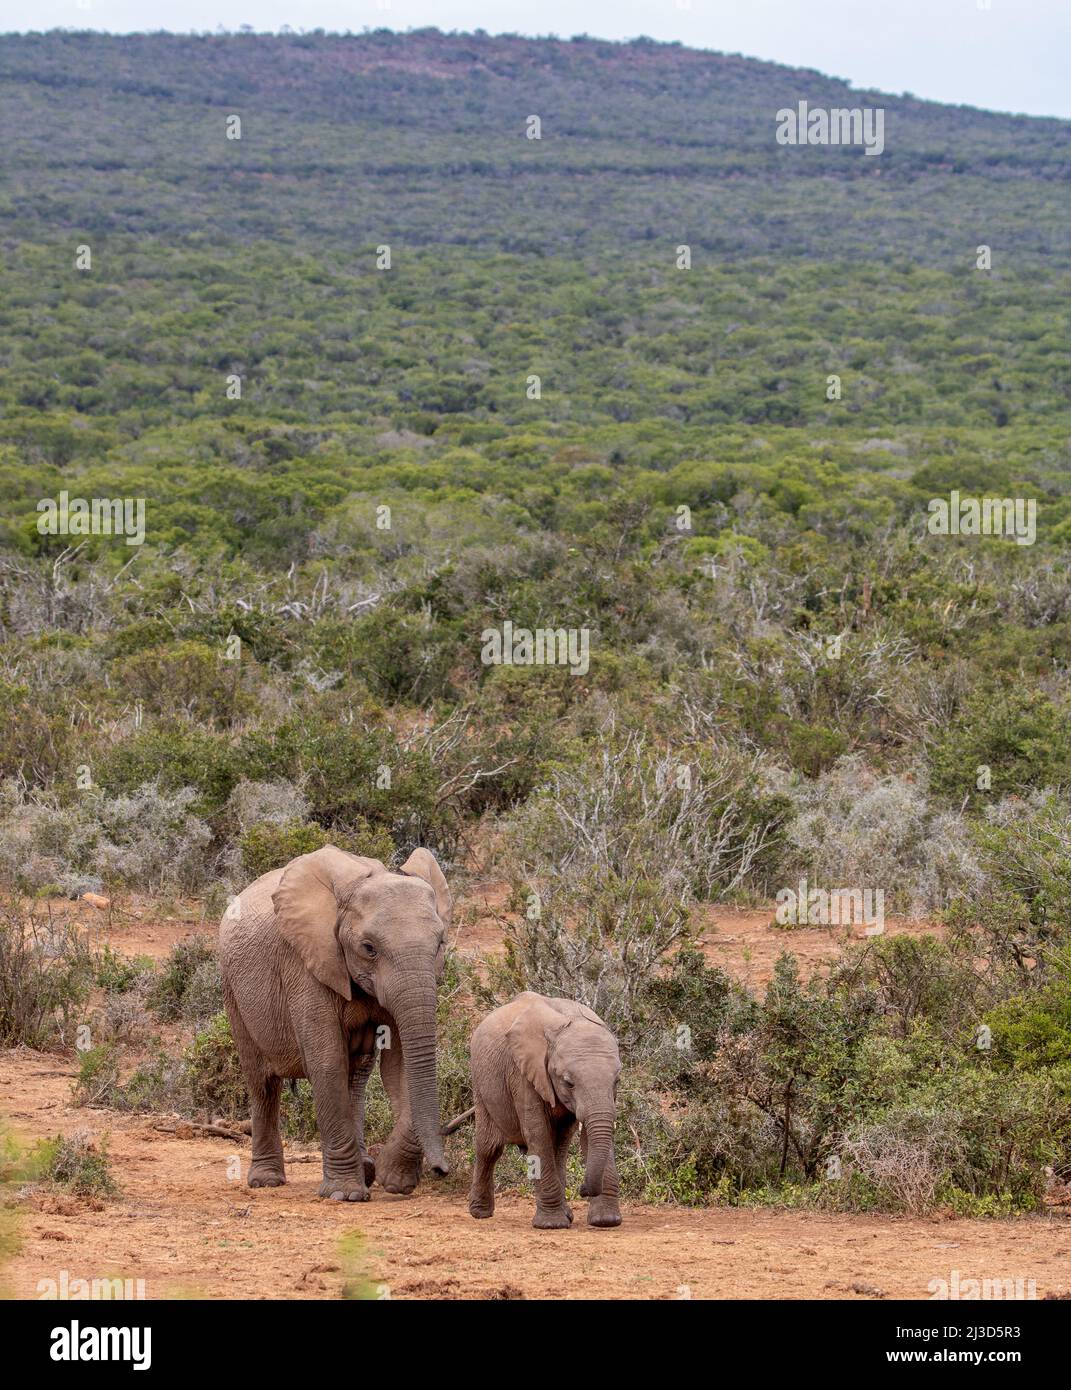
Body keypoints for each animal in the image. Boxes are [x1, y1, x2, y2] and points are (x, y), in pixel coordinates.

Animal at [219, 844, 452, 1201]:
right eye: (369, 948)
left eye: (440, 943)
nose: (442, 1170)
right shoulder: (305, 963)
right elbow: (327, 1060)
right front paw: (346, 1195)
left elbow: (400, 1067)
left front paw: (393, 1179)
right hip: (233, 989)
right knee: (262, 1082)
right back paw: (266, 1181)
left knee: (356, 1076)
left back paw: (366, 1168)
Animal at [468, 991, 623, 1229]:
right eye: (568, 1083)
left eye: (617, 1081)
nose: (583, 1190)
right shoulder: (522, 1072)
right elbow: (537, 1132)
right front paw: (552, 1225)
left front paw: (606, 1221)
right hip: (480, 1080)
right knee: (489, 1148)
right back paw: (480, 1213)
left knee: (559, 1146)